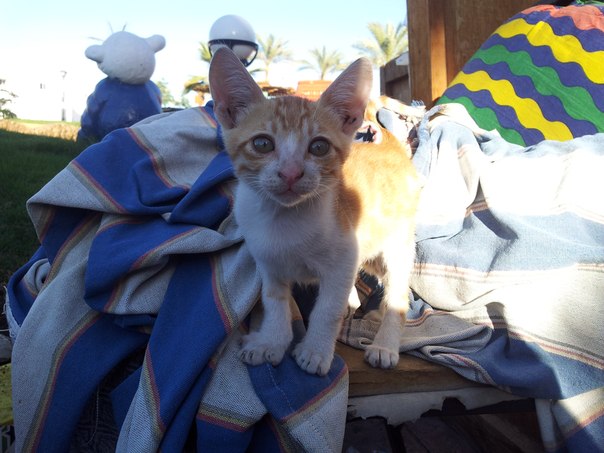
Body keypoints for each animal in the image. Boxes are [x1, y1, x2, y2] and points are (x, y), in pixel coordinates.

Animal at [209, 47, 420, 376]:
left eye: (319, 147)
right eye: (262, 143)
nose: (290, 173)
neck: (284, 221)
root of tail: (390, 146)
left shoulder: (343, 257)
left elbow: (327, 309)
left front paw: (316, 351)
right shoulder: (268, 263)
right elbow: (274, 302)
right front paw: (271, 342)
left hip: (396, 243)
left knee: (397, 294)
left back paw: (385, 345)